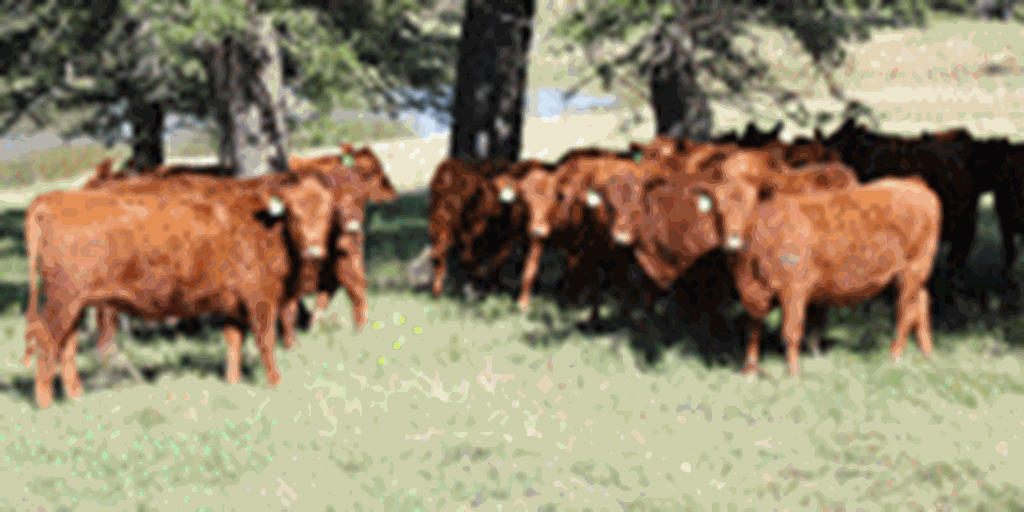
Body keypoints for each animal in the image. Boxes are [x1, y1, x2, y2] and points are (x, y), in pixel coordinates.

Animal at [24, 175, 334, 409]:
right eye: (294, 213)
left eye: (327, 213)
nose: (314, 250)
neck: (265, 228)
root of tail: (56, 198)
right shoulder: (260, 299)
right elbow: (266, 340)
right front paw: (275, 382)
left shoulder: (233, 304)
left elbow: (233, 342)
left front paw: (233, 381)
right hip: (63, 300)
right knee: (47, 341)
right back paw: (45, 403)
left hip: (76, 304)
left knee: (67, 345)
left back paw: (76, 396)